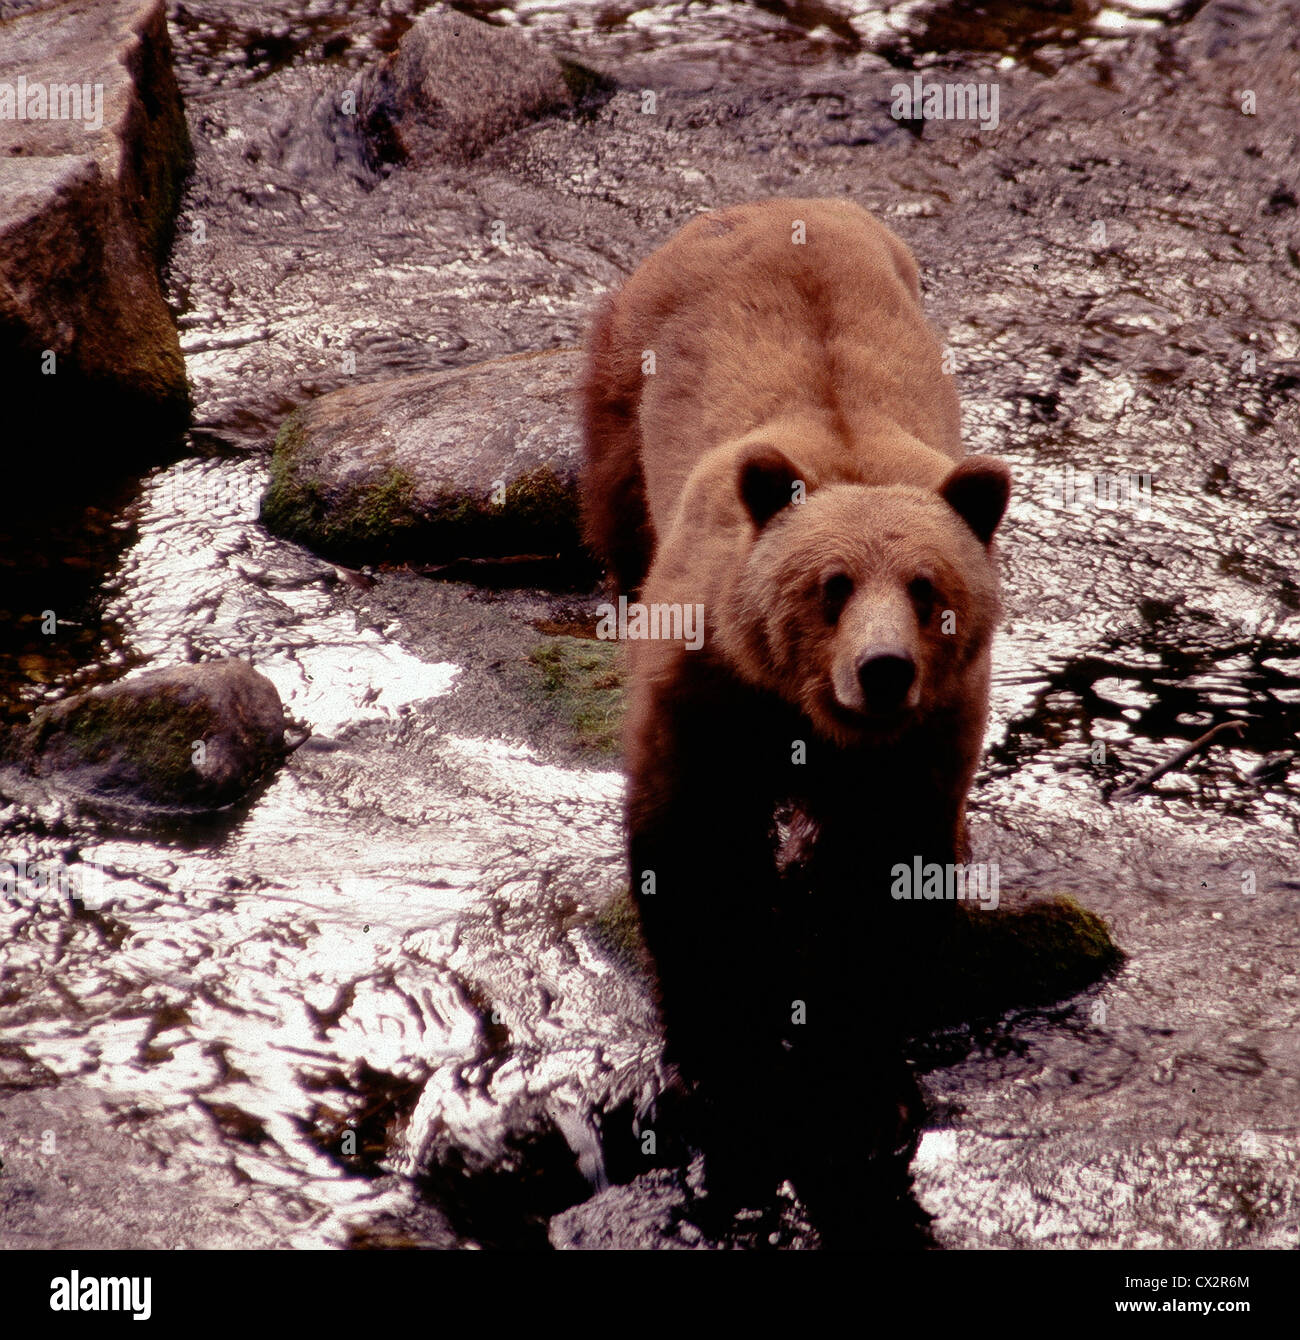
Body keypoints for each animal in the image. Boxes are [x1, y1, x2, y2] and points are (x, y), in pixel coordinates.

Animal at [580, 197, 1011, 1244]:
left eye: (928, 589)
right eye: (833, 585)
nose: (884, 670)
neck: (810, 712)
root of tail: (773, 204)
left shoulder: (926, 737)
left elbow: (885, 881)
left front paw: (863, 1087)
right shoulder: (709, 689)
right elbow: (693, 849)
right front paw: (720, 1067)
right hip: (623, 402)